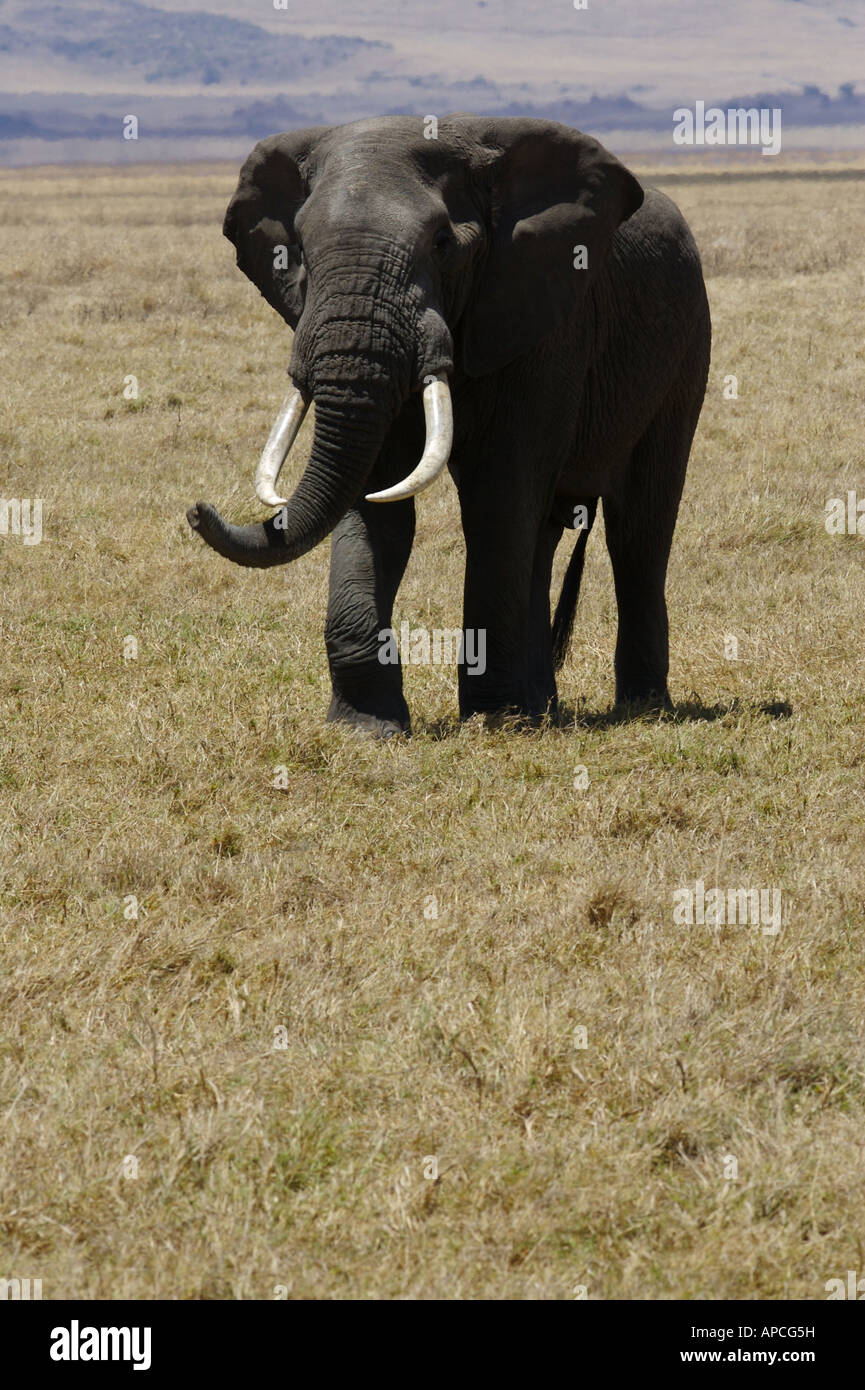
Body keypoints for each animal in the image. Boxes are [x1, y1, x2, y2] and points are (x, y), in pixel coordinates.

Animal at [187, 115, 711, 736]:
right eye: (302, 252)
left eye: (442, 245)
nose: (196, 510)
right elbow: (376, 503)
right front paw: (366, 727)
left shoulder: (543, 326)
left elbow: (498, 497)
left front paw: (491, 722)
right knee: (544, 536)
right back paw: (543, 709)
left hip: (687, 346)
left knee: (639, 525)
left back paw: (639, 707)